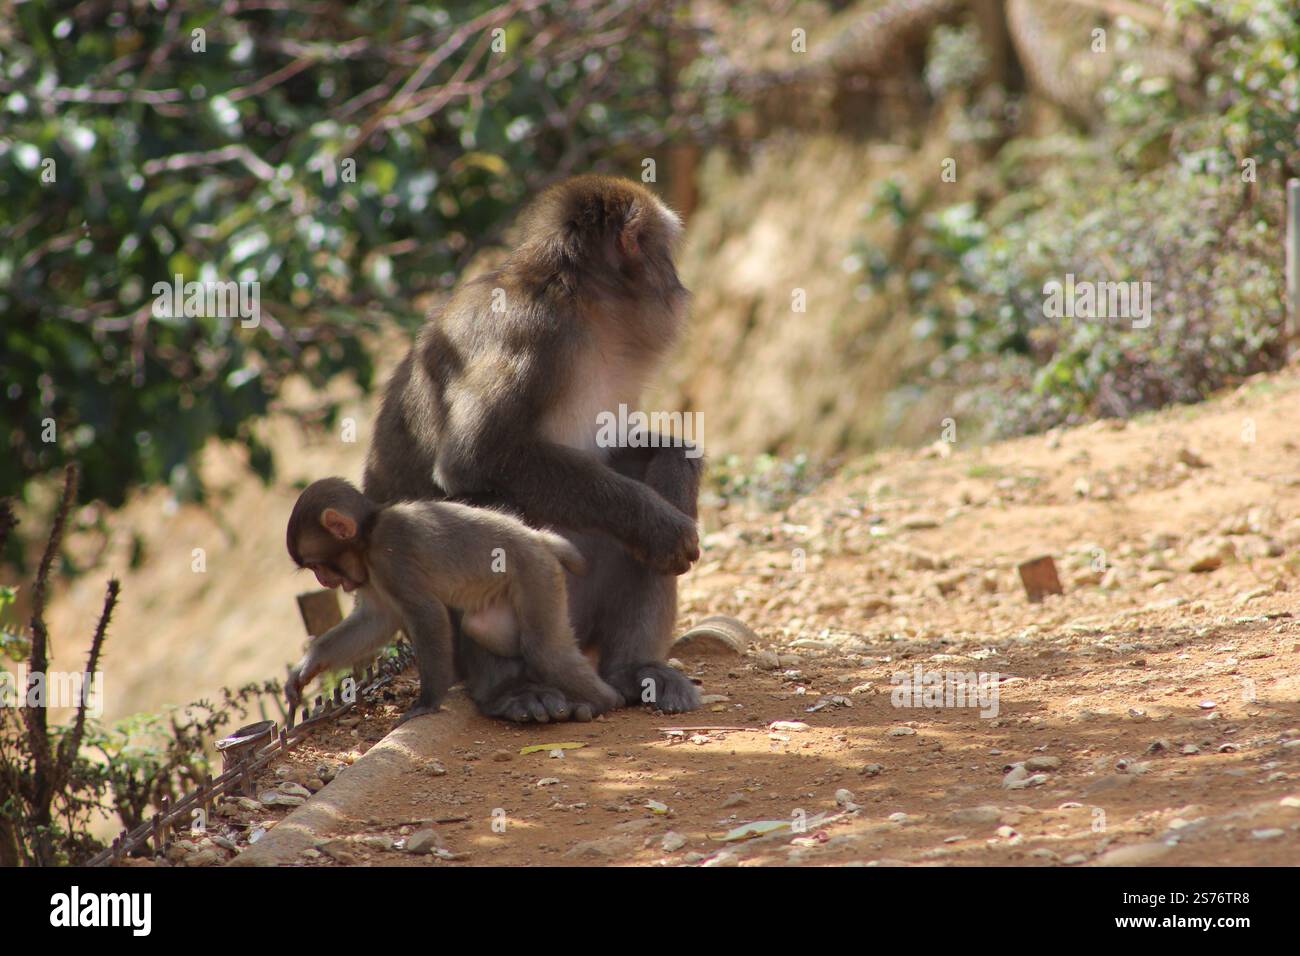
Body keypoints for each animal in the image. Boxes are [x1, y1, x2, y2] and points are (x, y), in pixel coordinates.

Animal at [284, 477, 623, 723]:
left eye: (317, 565)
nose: (323, 581)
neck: (370, 534)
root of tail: (537, 537)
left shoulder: (391, 557)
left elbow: (427, 613)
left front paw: (428, 702)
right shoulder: (371, 573)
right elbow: (377, 620)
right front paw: (307, 666)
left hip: (537, 573)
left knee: (545, 652)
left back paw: (606, 700)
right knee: (481, 627)